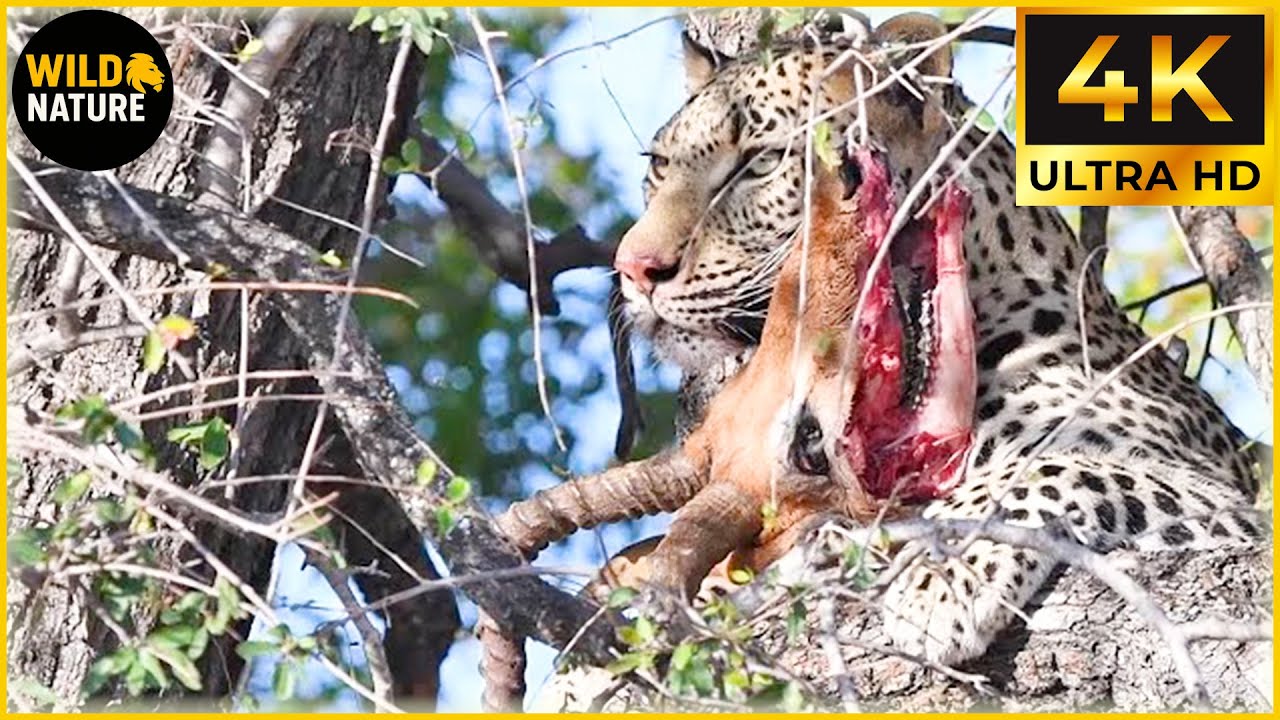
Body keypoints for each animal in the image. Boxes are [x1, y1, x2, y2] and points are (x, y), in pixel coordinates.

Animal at [612, 11, 1265, 667]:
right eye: (658, 165)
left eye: (763, 162)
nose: (633, 268)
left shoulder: (1225, 493)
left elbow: (1046, 468)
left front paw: (940, 578)